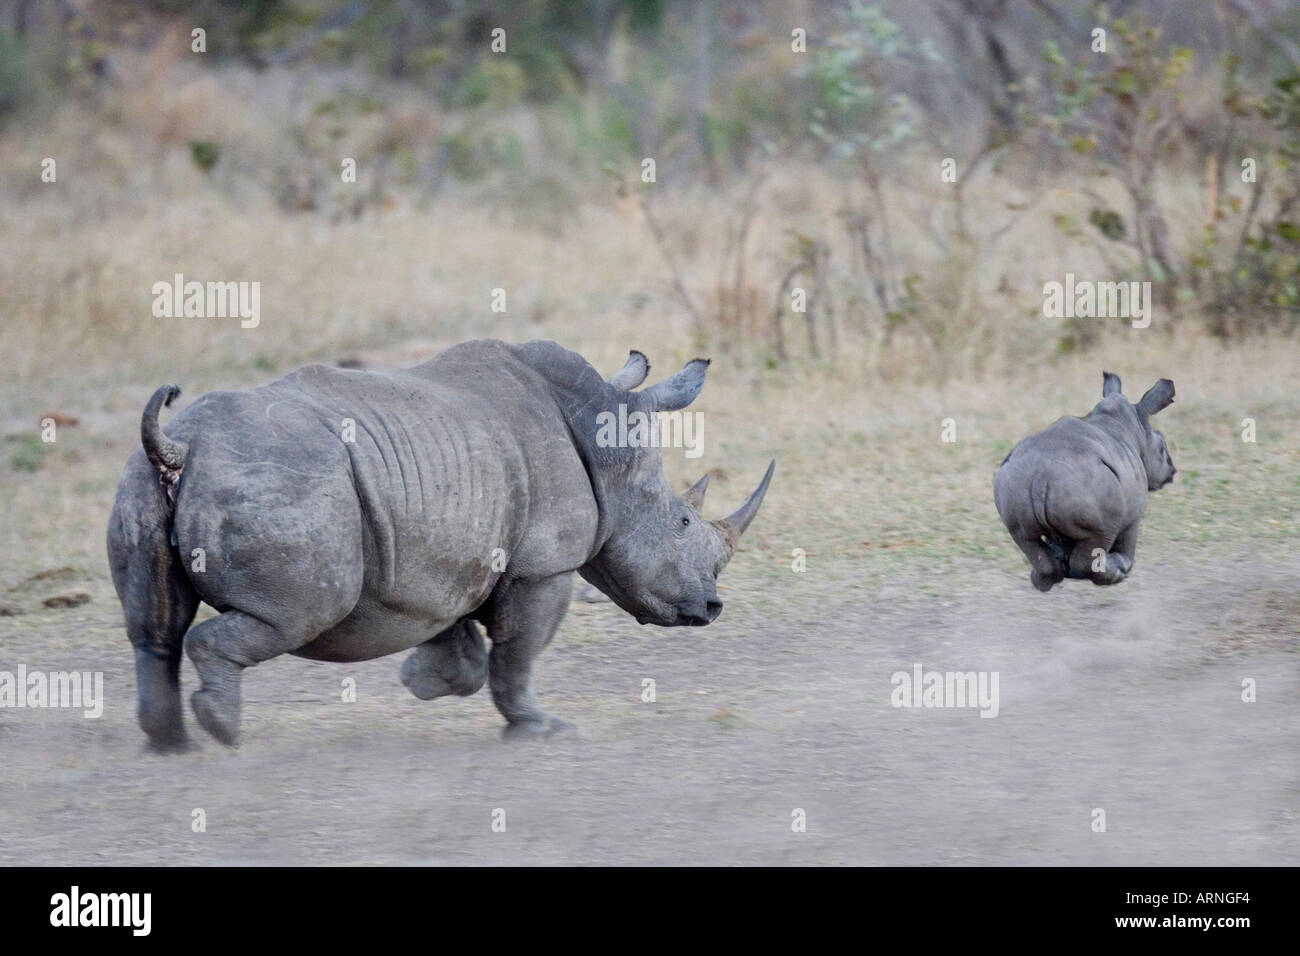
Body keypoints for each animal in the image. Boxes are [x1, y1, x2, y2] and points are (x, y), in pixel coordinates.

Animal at [107, 340, 774, 749]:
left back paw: (171, 743)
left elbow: (461, 636)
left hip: (142, 483)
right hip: (285, 482)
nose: (712, 608)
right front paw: (542, 729)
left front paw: (424, 680)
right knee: (295, 613)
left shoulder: (450, 555)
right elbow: (518, 655)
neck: (603, 438)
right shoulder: (543, 563)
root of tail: (182, 446)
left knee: (153, 630)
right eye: (682, 523)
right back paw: (223, 731)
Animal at [993, 372, 1176, 591]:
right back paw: (1113, 572)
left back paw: (1046, 578)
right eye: (1162, 449)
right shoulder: (1134, 513)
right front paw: (1122, 567)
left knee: (1025, 537)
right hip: (1089, 487)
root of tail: (1041, 477)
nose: (1172, 471)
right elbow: (1128, 540)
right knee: (1098, 535)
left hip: (1013, 483)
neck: (1136, 427)